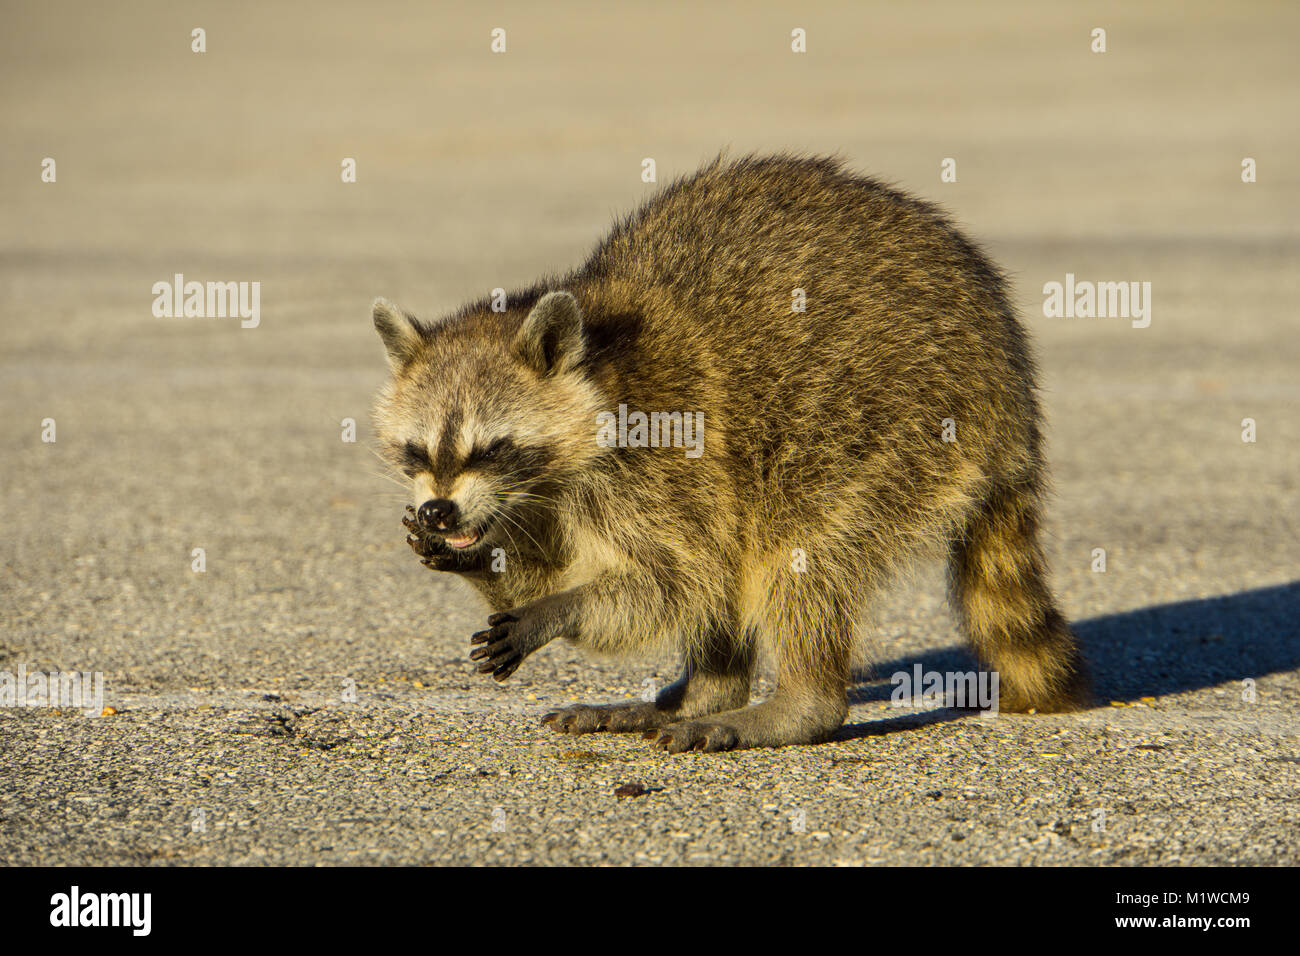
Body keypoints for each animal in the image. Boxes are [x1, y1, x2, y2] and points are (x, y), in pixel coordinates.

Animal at [372, 153, 1091, 752]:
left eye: (492, 448)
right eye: (416, 452)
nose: (438, 513)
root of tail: (1010, 382)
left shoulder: (664, 454)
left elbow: (675, 581)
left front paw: (555, 610)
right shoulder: (547, 500)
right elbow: (590, 568)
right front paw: (484, 565)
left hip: (889, 420)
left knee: (793, 543)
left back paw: (794, 703)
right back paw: (700, 692)